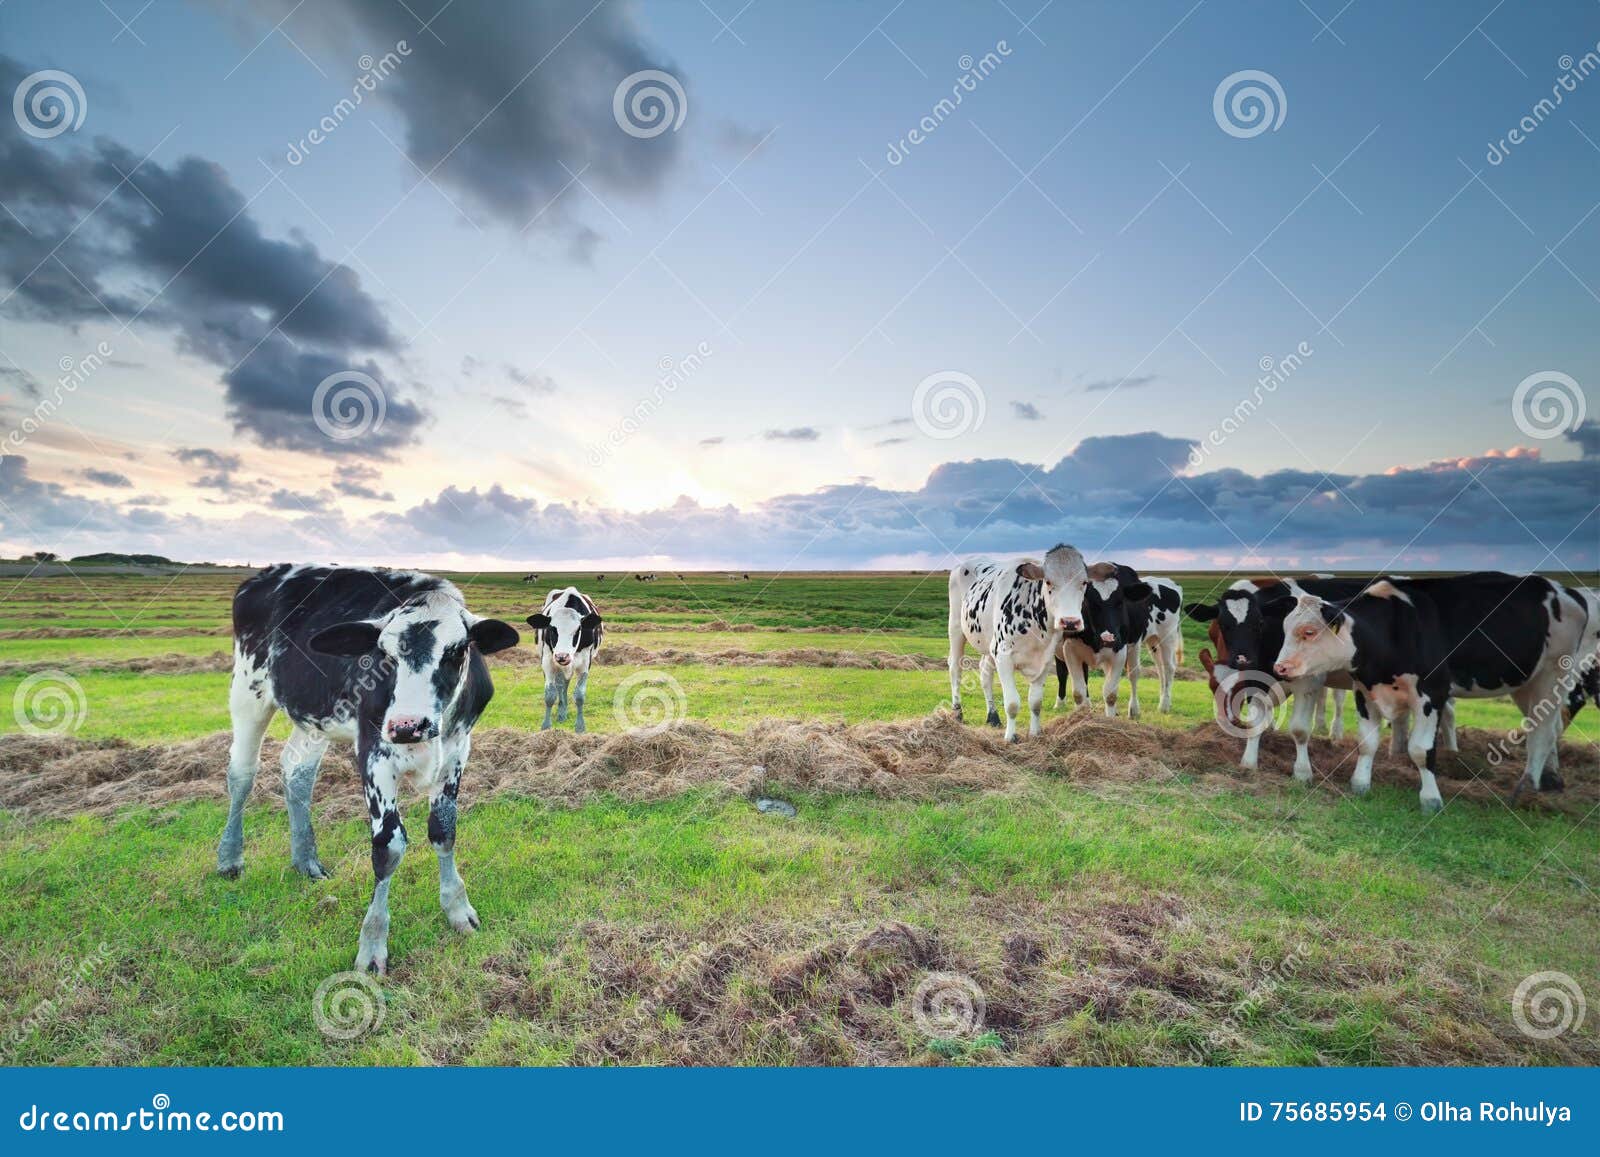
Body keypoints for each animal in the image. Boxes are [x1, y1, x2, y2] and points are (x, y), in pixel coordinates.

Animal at [217, 564, 520, 975]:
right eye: (383, 653)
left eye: (457, 651)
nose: (408, 725)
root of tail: (265, 574)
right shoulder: (374, 754)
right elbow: (387, 848)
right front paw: (373, 943)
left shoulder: (458, 750)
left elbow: (444, 831)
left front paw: (458, 910)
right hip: (249, 693)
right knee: (242, 773)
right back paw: (230, 858)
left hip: (314, 716)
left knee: (297, 773)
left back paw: (306, 861)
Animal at [526, 586, 603, 732]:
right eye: (552, 629)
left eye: (578, 630)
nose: (562, 656)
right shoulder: (548, 662)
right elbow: (550, 694)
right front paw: (546, 727)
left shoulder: (585, 663)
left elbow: (579, 695)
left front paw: (580, 727)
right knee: (561, 685)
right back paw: (561, 712)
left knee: (564, 684)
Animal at [948, 544, 1093, 743]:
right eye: (1048, 582)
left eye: (1084, 582)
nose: (1070, 622)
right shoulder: (1003, 656)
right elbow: (1012, 703)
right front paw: (1011, 737)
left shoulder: (1045, 659)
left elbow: (1036, 702)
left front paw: (1035, 733)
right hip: (956, 628)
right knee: (955, 668)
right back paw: (957, 712)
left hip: (989, 644)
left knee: (985, 672)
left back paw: (993, 716)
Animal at [1054, 568, 1184, 718]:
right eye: (1089, 603)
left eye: (1120, 603)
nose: (1108, 637)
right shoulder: (1069, 650)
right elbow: (1078, 691)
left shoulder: (1120, 651)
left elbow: (1110, 693)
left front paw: (1109, 719)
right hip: (1153, 641)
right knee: (1159, 668)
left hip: (1166, 636)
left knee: (1162, 668)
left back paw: (1159, 706)